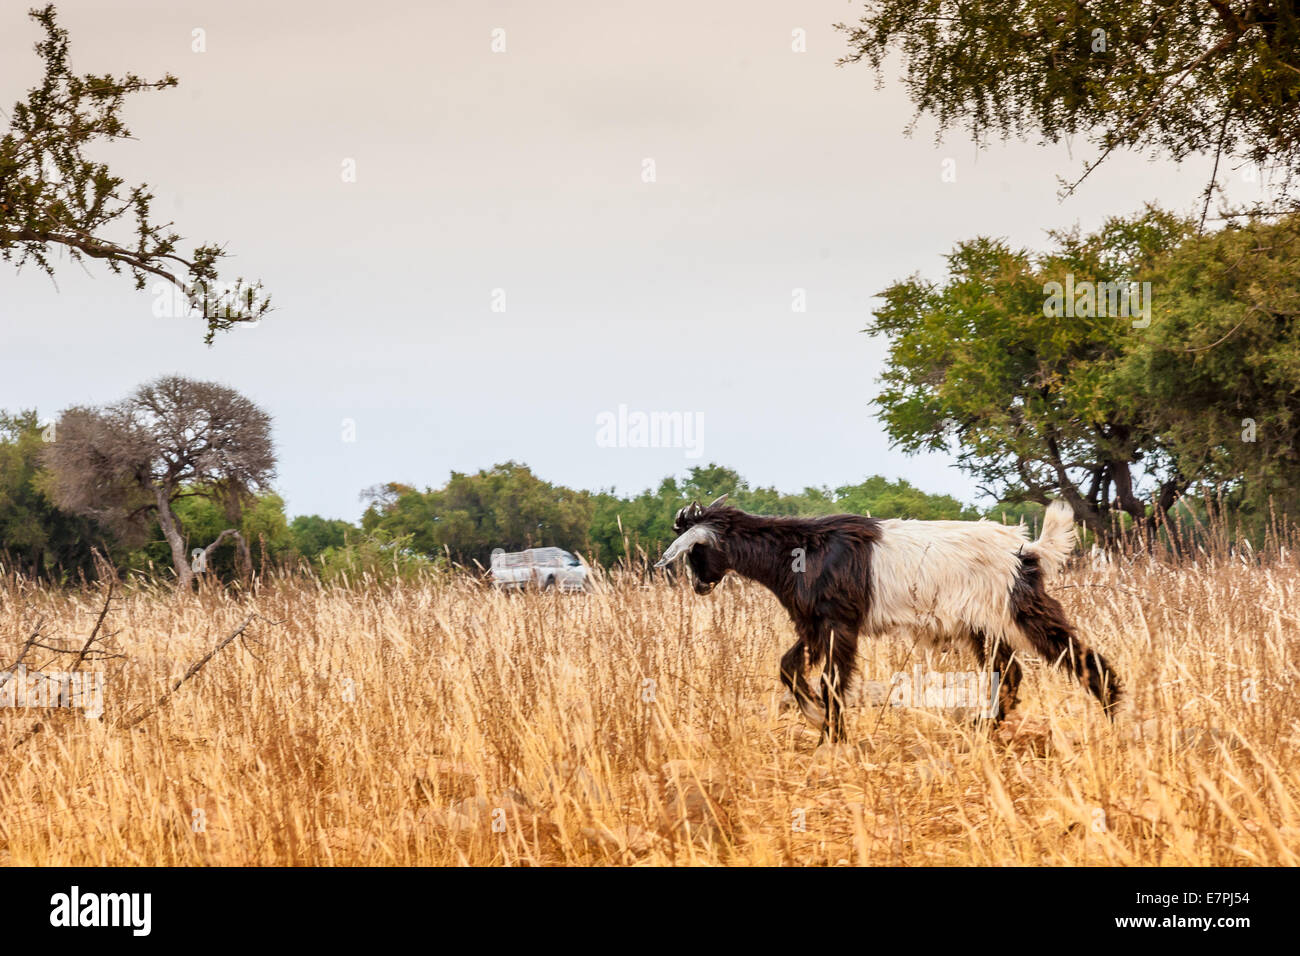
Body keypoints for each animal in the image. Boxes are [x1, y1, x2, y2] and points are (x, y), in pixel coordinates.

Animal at [654, 495, 1121, 743]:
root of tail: (1026, 550)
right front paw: (816, 718)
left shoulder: (839, 624)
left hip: (1017, 611)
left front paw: (832, 734)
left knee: (1073, 654)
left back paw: (1114, 710)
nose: (699, 586)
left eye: (695, 552)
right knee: (1010, 673)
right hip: (982, 626)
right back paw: (984, 726)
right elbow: (788, 667)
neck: (796, 549)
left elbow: (832, 681)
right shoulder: (813, 625)